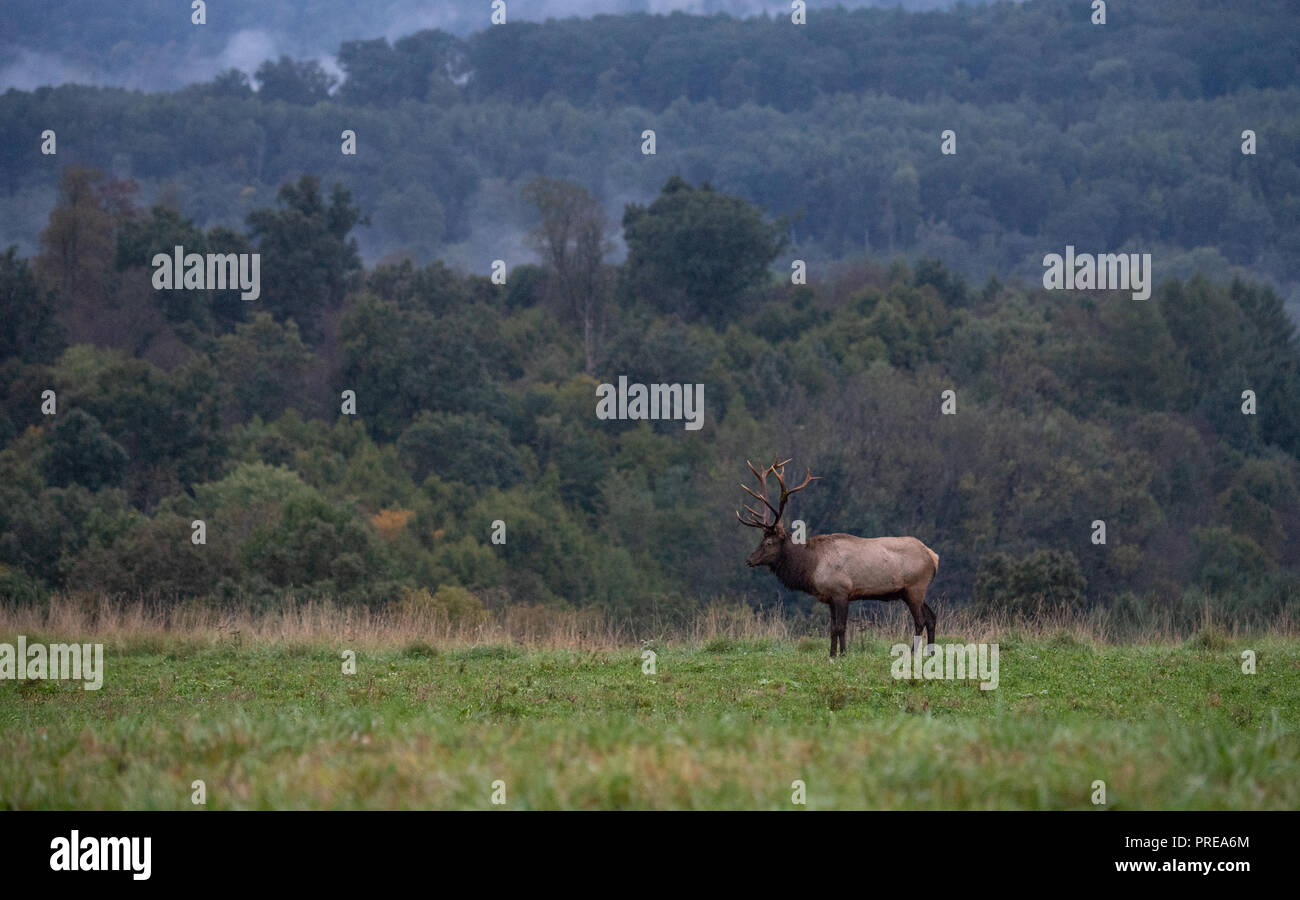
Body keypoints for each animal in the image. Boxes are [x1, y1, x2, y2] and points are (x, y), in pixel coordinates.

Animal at [736, 458, 939, 659]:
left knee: (920, 620)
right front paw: (834, 654)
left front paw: (841, 655)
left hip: (915, 587)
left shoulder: (841, 591)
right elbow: (833, 628)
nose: (749, 560)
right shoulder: (830, 597)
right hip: (910, 591)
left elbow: (840, 627)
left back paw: (912, 653)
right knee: (931, 617)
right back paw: (931, 653)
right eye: (760, 540)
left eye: (769, 542)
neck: (812, 566)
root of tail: (934, 556)